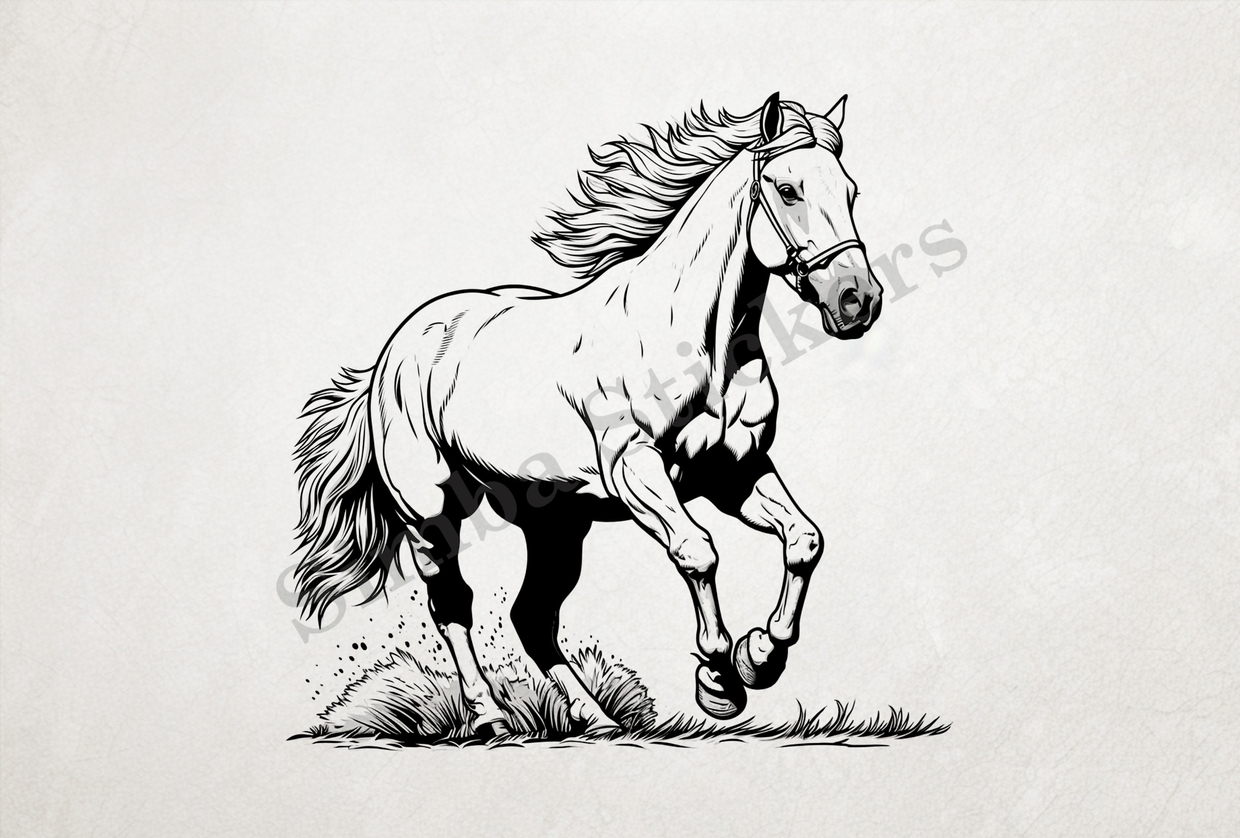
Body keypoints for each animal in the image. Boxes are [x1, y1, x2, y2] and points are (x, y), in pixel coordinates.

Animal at [293, 92, 883, 738]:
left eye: (851, 191)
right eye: (787, 188)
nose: (858, 300)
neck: (696, 345)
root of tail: (394, 354)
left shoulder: (733, 470)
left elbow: (804, 540)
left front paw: (760, 656)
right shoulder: (634, 468)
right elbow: (697, 550)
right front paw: (720, 681)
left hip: (555, 524)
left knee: (532, 615)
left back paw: (596, 720)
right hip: (433, 515)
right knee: (453, 604)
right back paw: (491, 718)